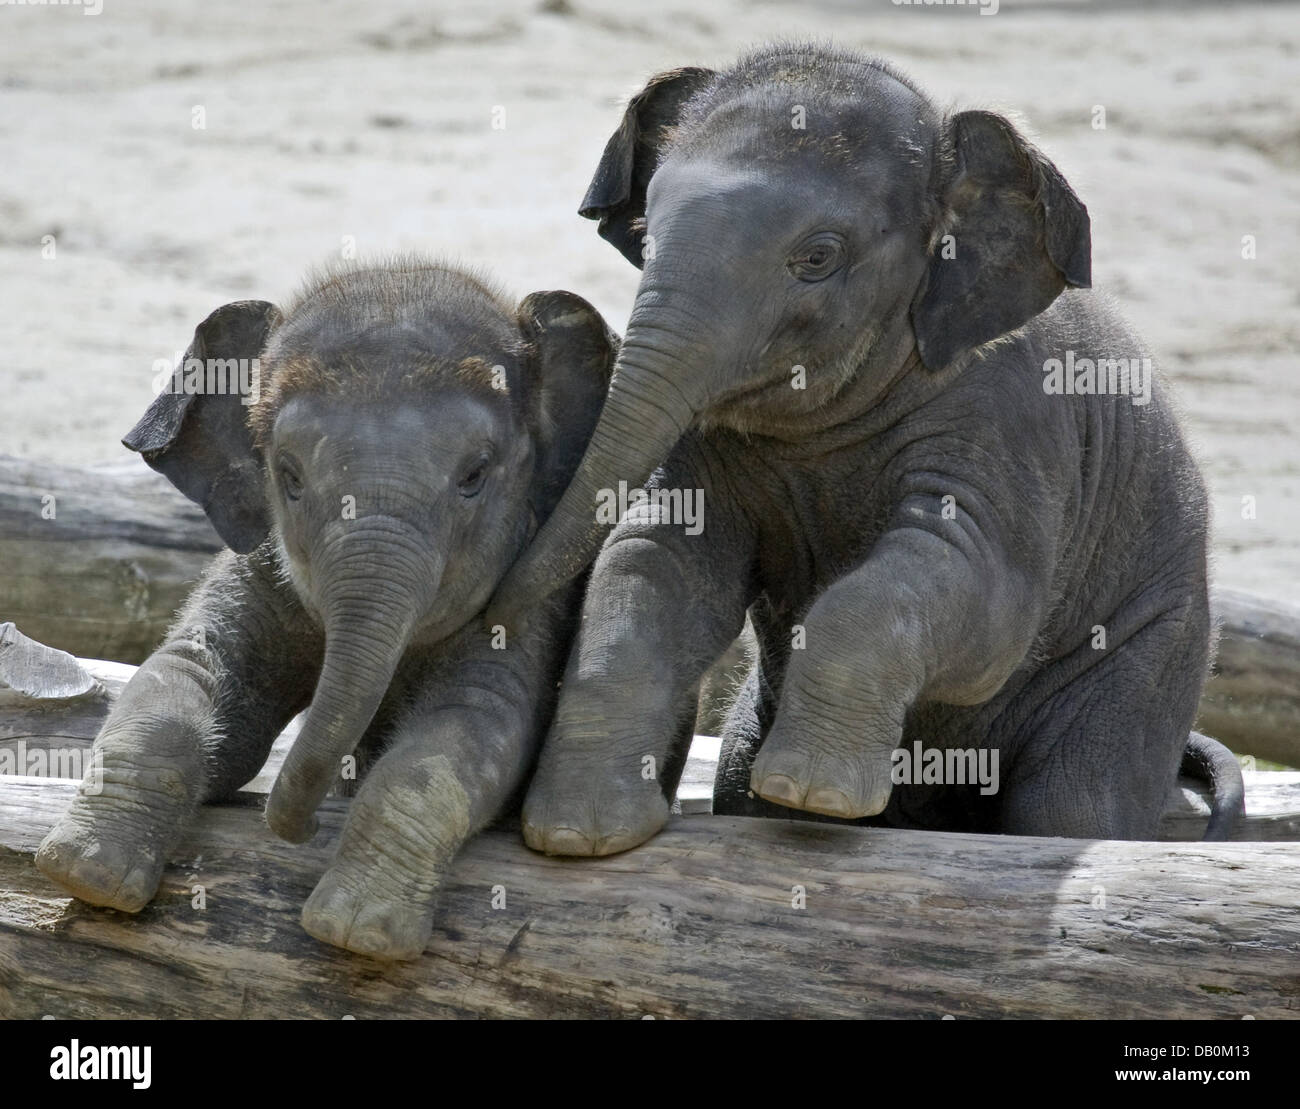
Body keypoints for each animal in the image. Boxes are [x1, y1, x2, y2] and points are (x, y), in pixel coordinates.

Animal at [36, 257, 618, 959]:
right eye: (288, 475)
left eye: (475, 475)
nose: (304, 826)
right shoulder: (259, 565)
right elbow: (193, 672)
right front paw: (86, 872)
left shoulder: (532, 589)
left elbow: (471, 725)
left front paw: (356, 933)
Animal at [486, 44, 1244, 855]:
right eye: (646, 235)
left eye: (818, 257)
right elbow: (658, 558)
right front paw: (580, 834)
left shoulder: (1010, 423)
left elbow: (974, 585)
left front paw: (813, 789)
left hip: (1153, 651)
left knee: (1073, 808)